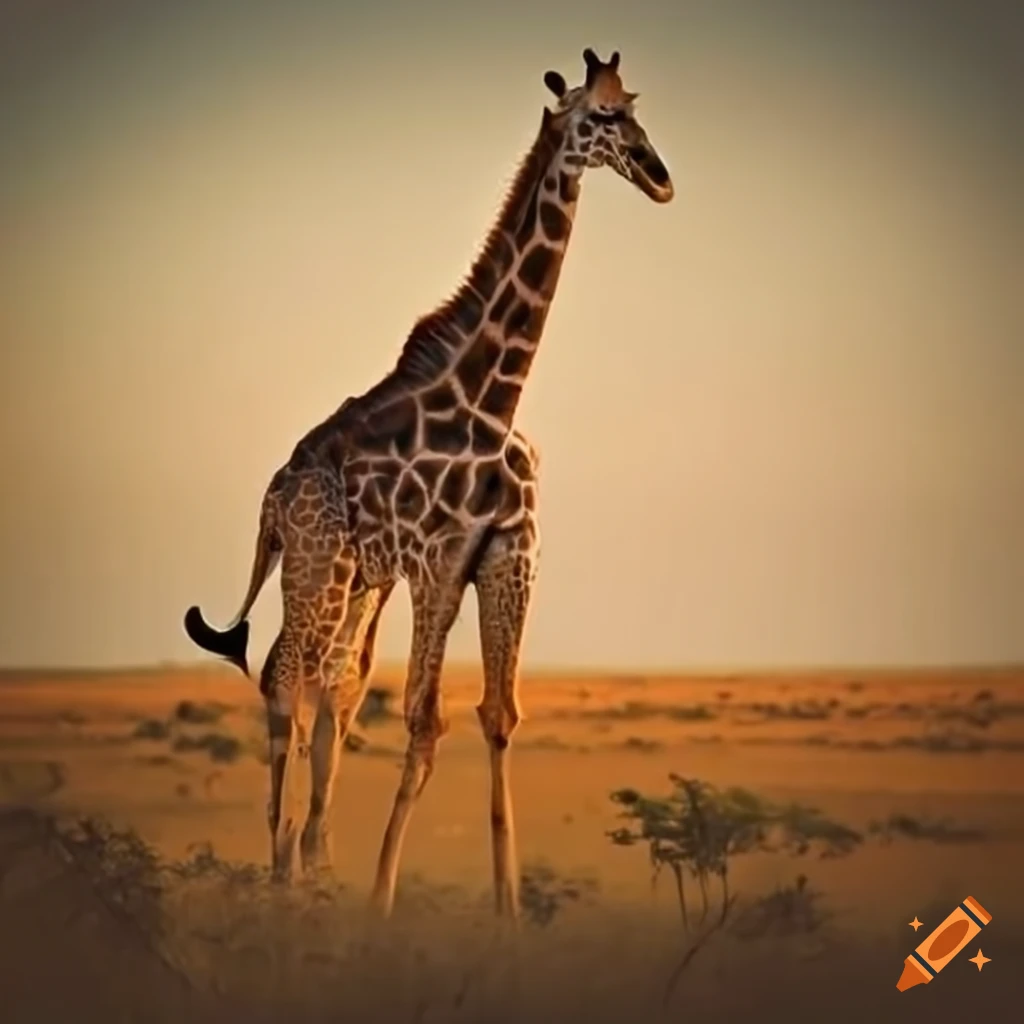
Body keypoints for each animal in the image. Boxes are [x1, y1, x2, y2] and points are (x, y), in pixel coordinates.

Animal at [183, 47, 673, 920]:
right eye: (602, 116)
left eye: (637, 107)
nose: (659, 176)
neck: (492, 395)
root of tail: (274, 492)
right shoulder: (440, 562)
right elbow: (422, 720)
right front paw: (380, 902)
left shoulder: (509, 556)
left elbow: (497, 714)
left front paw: (509, 911)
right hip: (317, 566)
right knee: (285, 676)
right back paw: (282, 871)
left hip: (358, 584)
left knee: (331, 687)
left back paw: (314, 861)